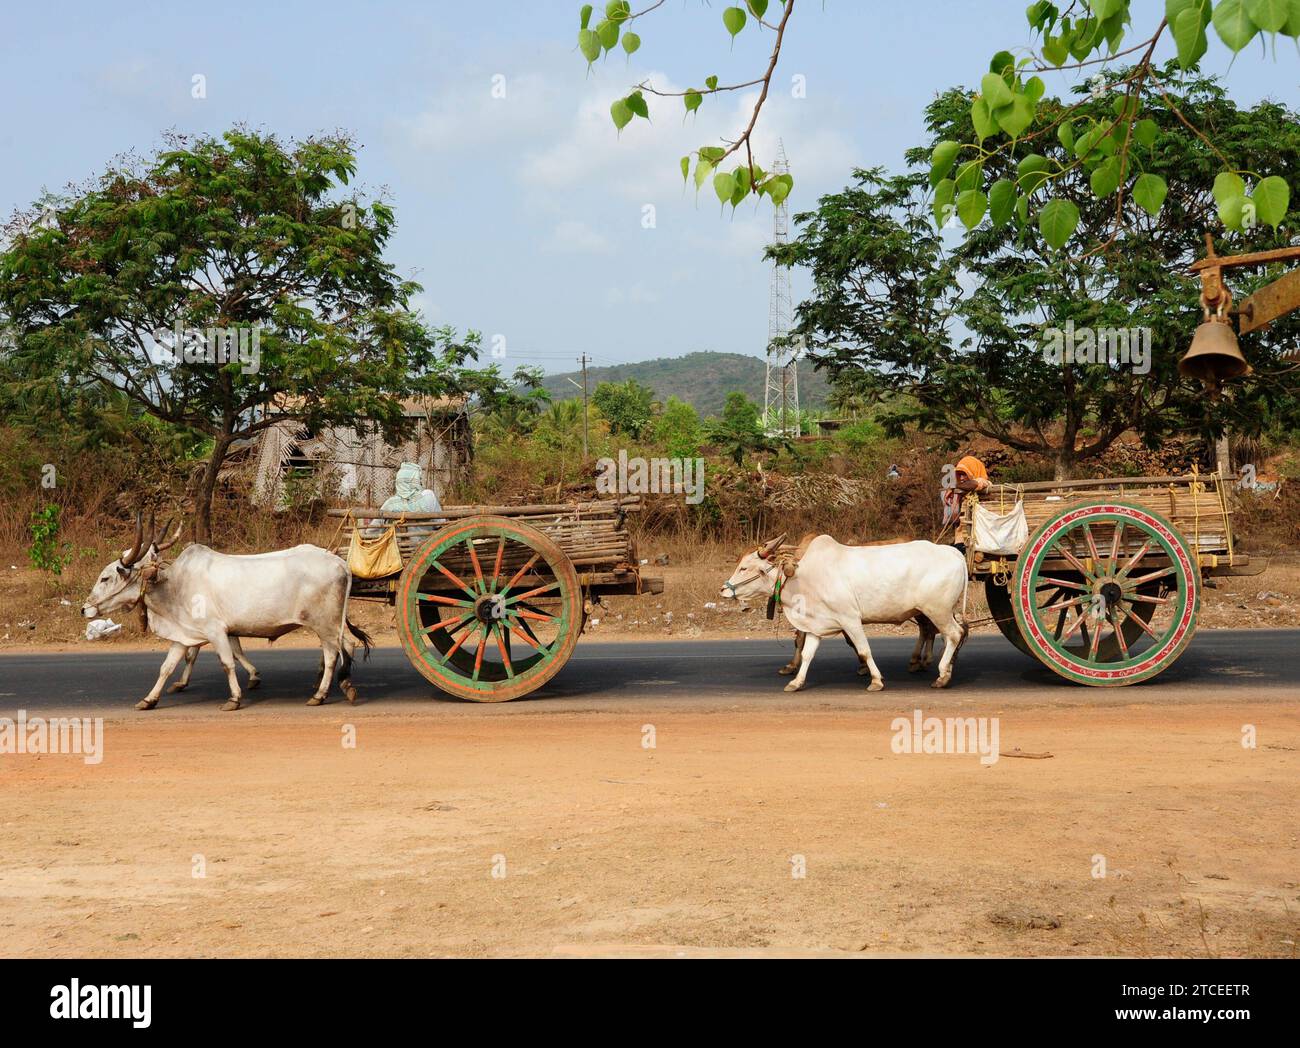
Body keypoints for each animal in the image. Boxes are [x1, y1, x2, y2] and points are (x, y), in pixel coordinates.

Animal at [81, 513, 372, 711]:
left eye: (106, 577)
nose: (85, 608)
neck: (173, 585)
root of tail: (339, 563)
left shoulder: (216, 631)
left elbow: (227, 662)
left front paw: (234, 697)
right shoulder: (183, 634)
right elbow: (167, 667)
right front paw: (149, 699)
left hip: (324, 624)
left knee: (334, 653)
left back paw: (321, 694)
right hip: (329, 625)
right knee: (345, 647)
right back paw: (340, 685)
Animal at [721, 532, 969, 692]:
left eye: (744, 567)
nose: (723, 589)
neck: (802, 577)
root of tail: (953, 553)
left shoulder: (850, 620)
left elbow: (864, 650)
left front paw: (875, 680)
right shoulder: (815, 625)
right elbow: (807, 654)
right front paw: (796, 682)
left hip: (937, 610)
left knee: (954, 634)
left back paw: (941, 674)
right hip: (936, 611)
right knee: (948, 634)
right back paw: (943, 669)